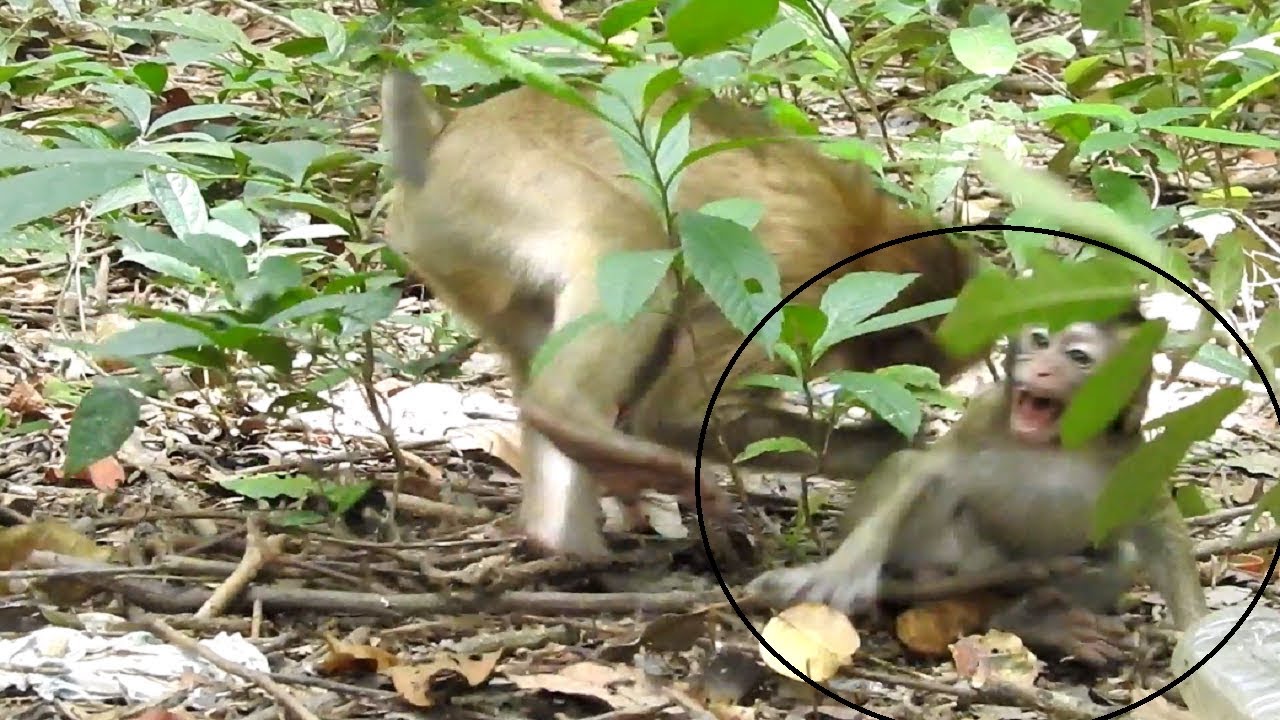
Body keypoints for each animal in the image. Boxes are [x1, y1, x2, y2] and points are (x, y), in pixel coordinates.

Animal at [379, 68, 977, 559]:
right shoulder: (787, 283)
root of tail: (444, 133)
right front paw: (887, 448)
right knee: (627, 238)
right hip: (499, 184)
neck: (861, 236)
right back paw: (568, 417)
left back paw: (560, 540)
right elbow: (676, 416)